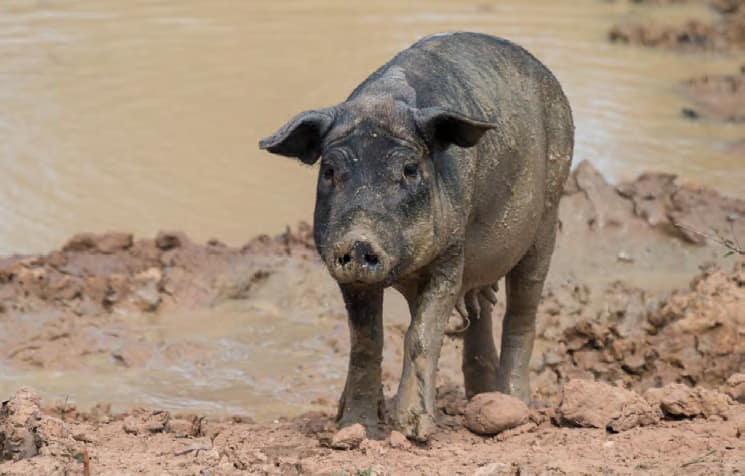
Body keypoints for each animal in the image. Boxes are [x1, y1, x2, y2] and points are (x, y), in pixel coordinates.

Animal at [259, 31, 573, 441]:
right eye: (329, 171)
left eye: (409, 169)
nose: (358, 242)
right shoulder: (348, 274)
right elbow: (366, 341)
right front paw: (355, 425)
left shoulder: (451, 256)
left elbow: (421, 335)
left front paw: (414, 430)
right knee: (480, 312)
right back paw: (481, 396)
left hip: (549, 213)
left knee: (522, 310)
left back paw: (515, 401)